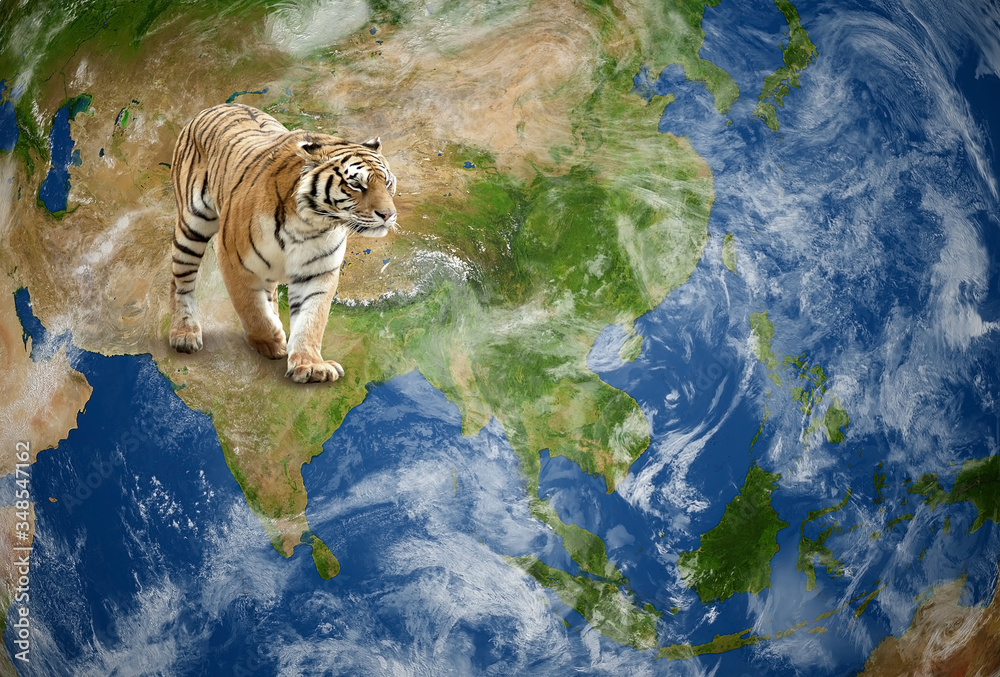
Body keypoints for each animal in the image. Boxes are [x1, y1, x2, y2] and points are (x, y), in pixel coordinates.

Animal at [168, 103, 397, 383]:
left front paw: (311, 366)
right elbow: (251, 308)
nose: (388, 215)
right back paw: (184, 334)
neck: (311, 224)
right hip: (192, 225)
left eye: (387, 182)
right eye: (356, 185)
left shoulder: (317, 272)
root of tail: (219, 105)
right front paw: (272, 341)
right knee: (180, 281)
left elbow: (311, 320)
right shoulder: (232, 257)